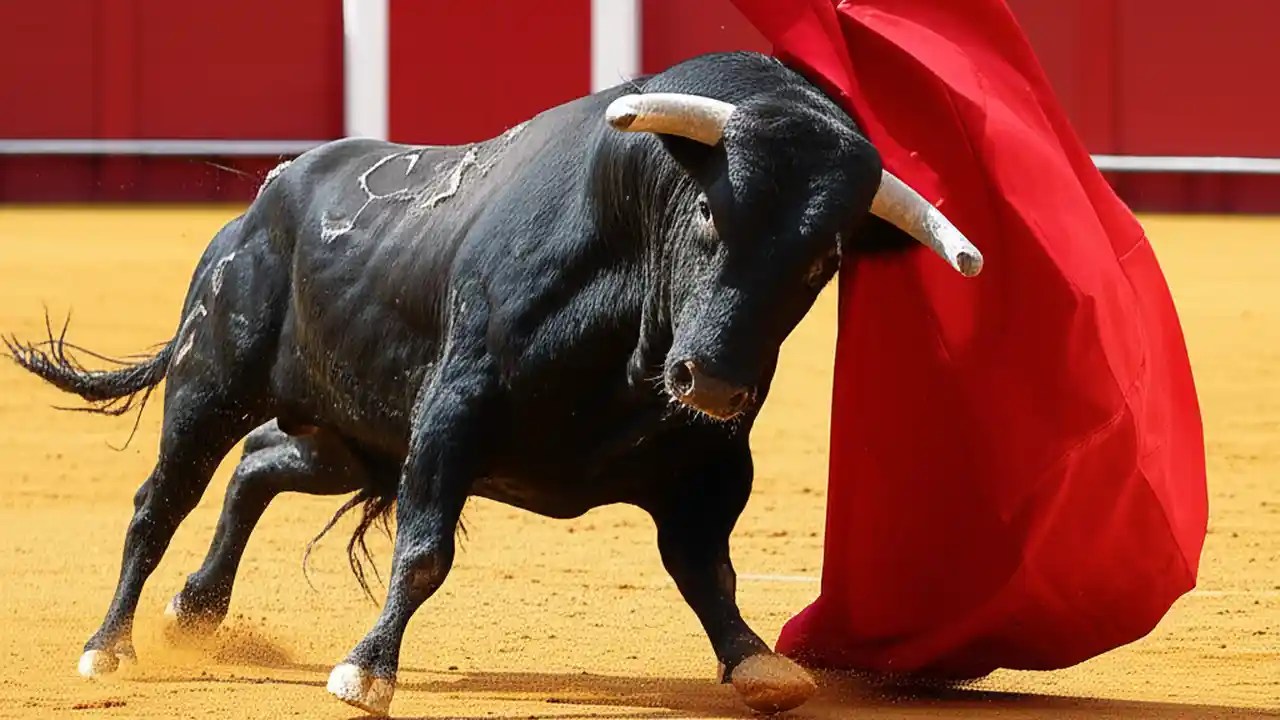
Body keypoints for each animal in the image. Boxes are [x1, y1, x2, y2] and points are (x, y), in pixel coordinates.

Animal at [5, 51, 981, 716]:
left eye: (824, 259)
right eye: (710, 211)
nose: (711, 383)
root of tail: (259, 204)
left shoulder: (713, 461)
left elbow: (705, 567)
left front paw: (757, 664)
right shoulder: (455, 412)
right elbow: (425, 551)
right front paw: (366, 671)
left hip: (355, 437)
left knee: (257, 464)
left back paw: (197, 611)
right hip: (212, 380)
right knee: (161, 500)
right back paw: (109, 647)